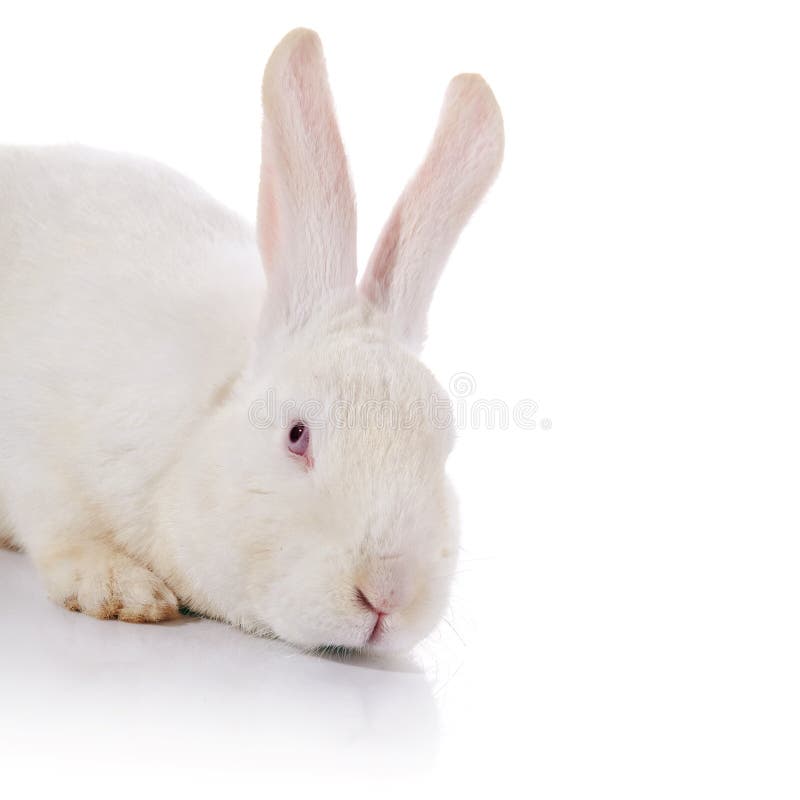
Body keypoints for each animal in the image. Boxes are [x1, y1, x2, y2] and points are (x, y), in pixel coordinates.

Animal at [0, 28, 503, 652]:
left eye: (443, 450)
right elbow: (62, 527)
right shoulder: (36, 447)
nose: (387, 593)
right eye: (296, 435)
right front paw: (121, 590)